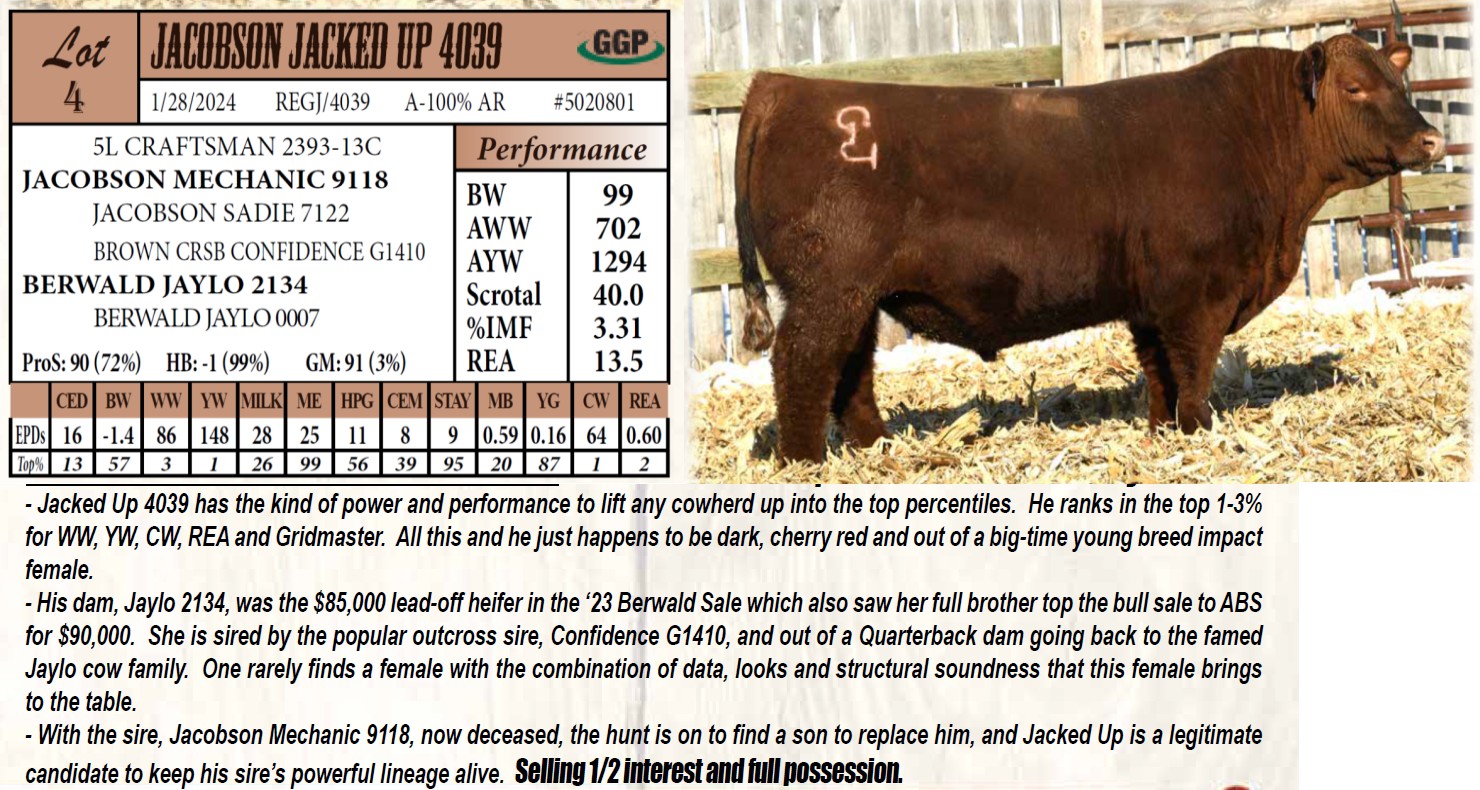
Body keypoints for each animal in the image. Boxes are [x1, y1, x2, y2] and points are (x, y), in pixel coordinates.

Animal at [734, 34, 1444, 464]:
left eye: (1398, 83)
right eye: (1355, 88)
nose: (1432, 140)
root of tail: (779, 86)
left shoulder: (1152, 301)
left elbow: (1159, 371)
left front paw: (1162, 432)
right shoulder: (1196, 295)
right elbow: (1193, 368)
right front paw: (1198, 432)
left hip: (853, 294)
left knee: (849, 370)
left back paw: (874, 448)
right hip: (830, 289)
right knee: (802, 363)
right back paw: (805, 463)